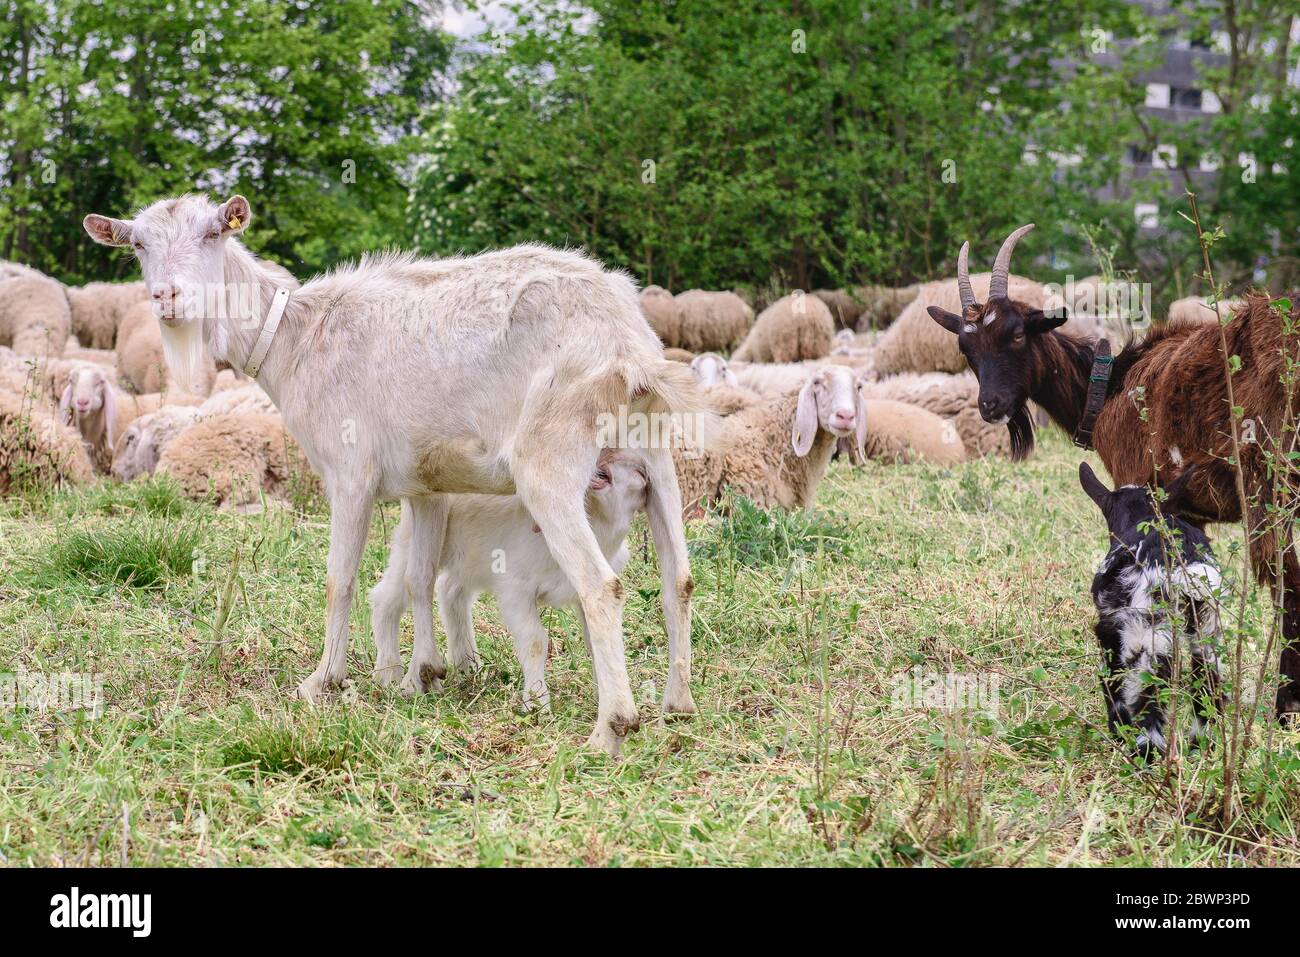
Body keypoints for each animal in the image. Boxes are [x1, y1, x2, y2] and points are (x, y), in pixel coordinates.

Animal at [84, 193, 705, 756]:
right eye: (138, 245)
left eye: (213, 232)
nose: (167, 296)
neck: (297, 339)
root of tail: (626, 344)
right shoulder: (427, 486)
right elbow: (419, 578)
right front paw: (421, 675)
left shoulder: (349, 474)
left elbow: (340, 579)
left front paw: (322, 681)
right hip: (654, 453)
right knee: (677, 577)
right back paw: (677, 706)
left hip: (550, 456)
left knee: (601, 585)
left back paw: (611, 729)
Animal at [927, 223, 1300, 716]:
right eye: (965, 346)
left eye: (1017, 334)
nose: (991, 405)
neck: (1109, 389)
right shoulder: (1190, 516)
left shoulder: (1142, 500)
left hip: (1270, 487)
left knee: (1288, 585)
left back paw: (1285, 708)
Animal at [1080, 463, 1222, 757]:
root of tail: (1184, 564)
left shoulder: (1107, 628)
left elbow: (1110, 683)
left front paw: (1118, 733)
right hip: (1208, 630)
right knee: (1207, 685)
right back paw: (1200, 748)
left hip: (1147, 633)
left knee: (1148, 698)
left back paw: (1145, 754)